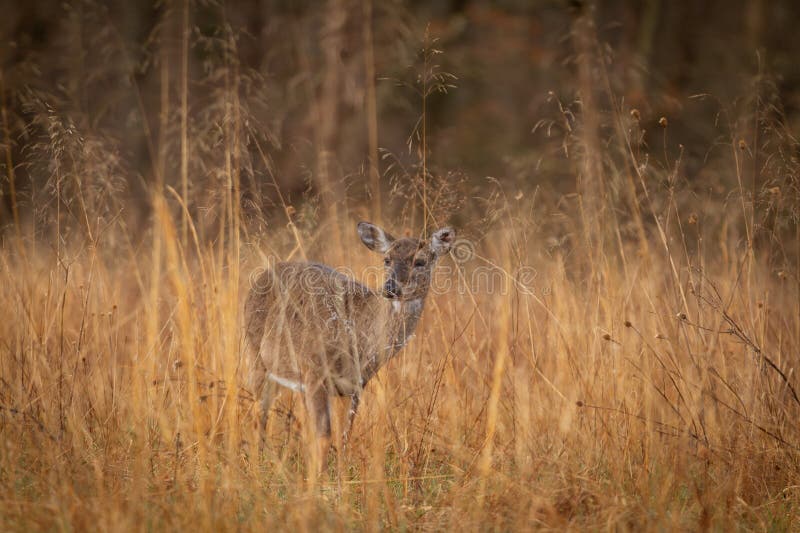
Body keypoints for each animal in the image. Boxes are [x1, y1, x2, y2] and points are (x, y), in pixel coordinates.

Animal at [244, 222, 454, 456]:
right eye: (387, 259)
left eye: (420, 261)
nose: (390, 288)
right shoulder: (314, 370)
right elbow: (323, 437)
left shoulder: (354, 386)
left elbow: (343, 440)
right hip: (256, 356)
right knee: (256, 416)